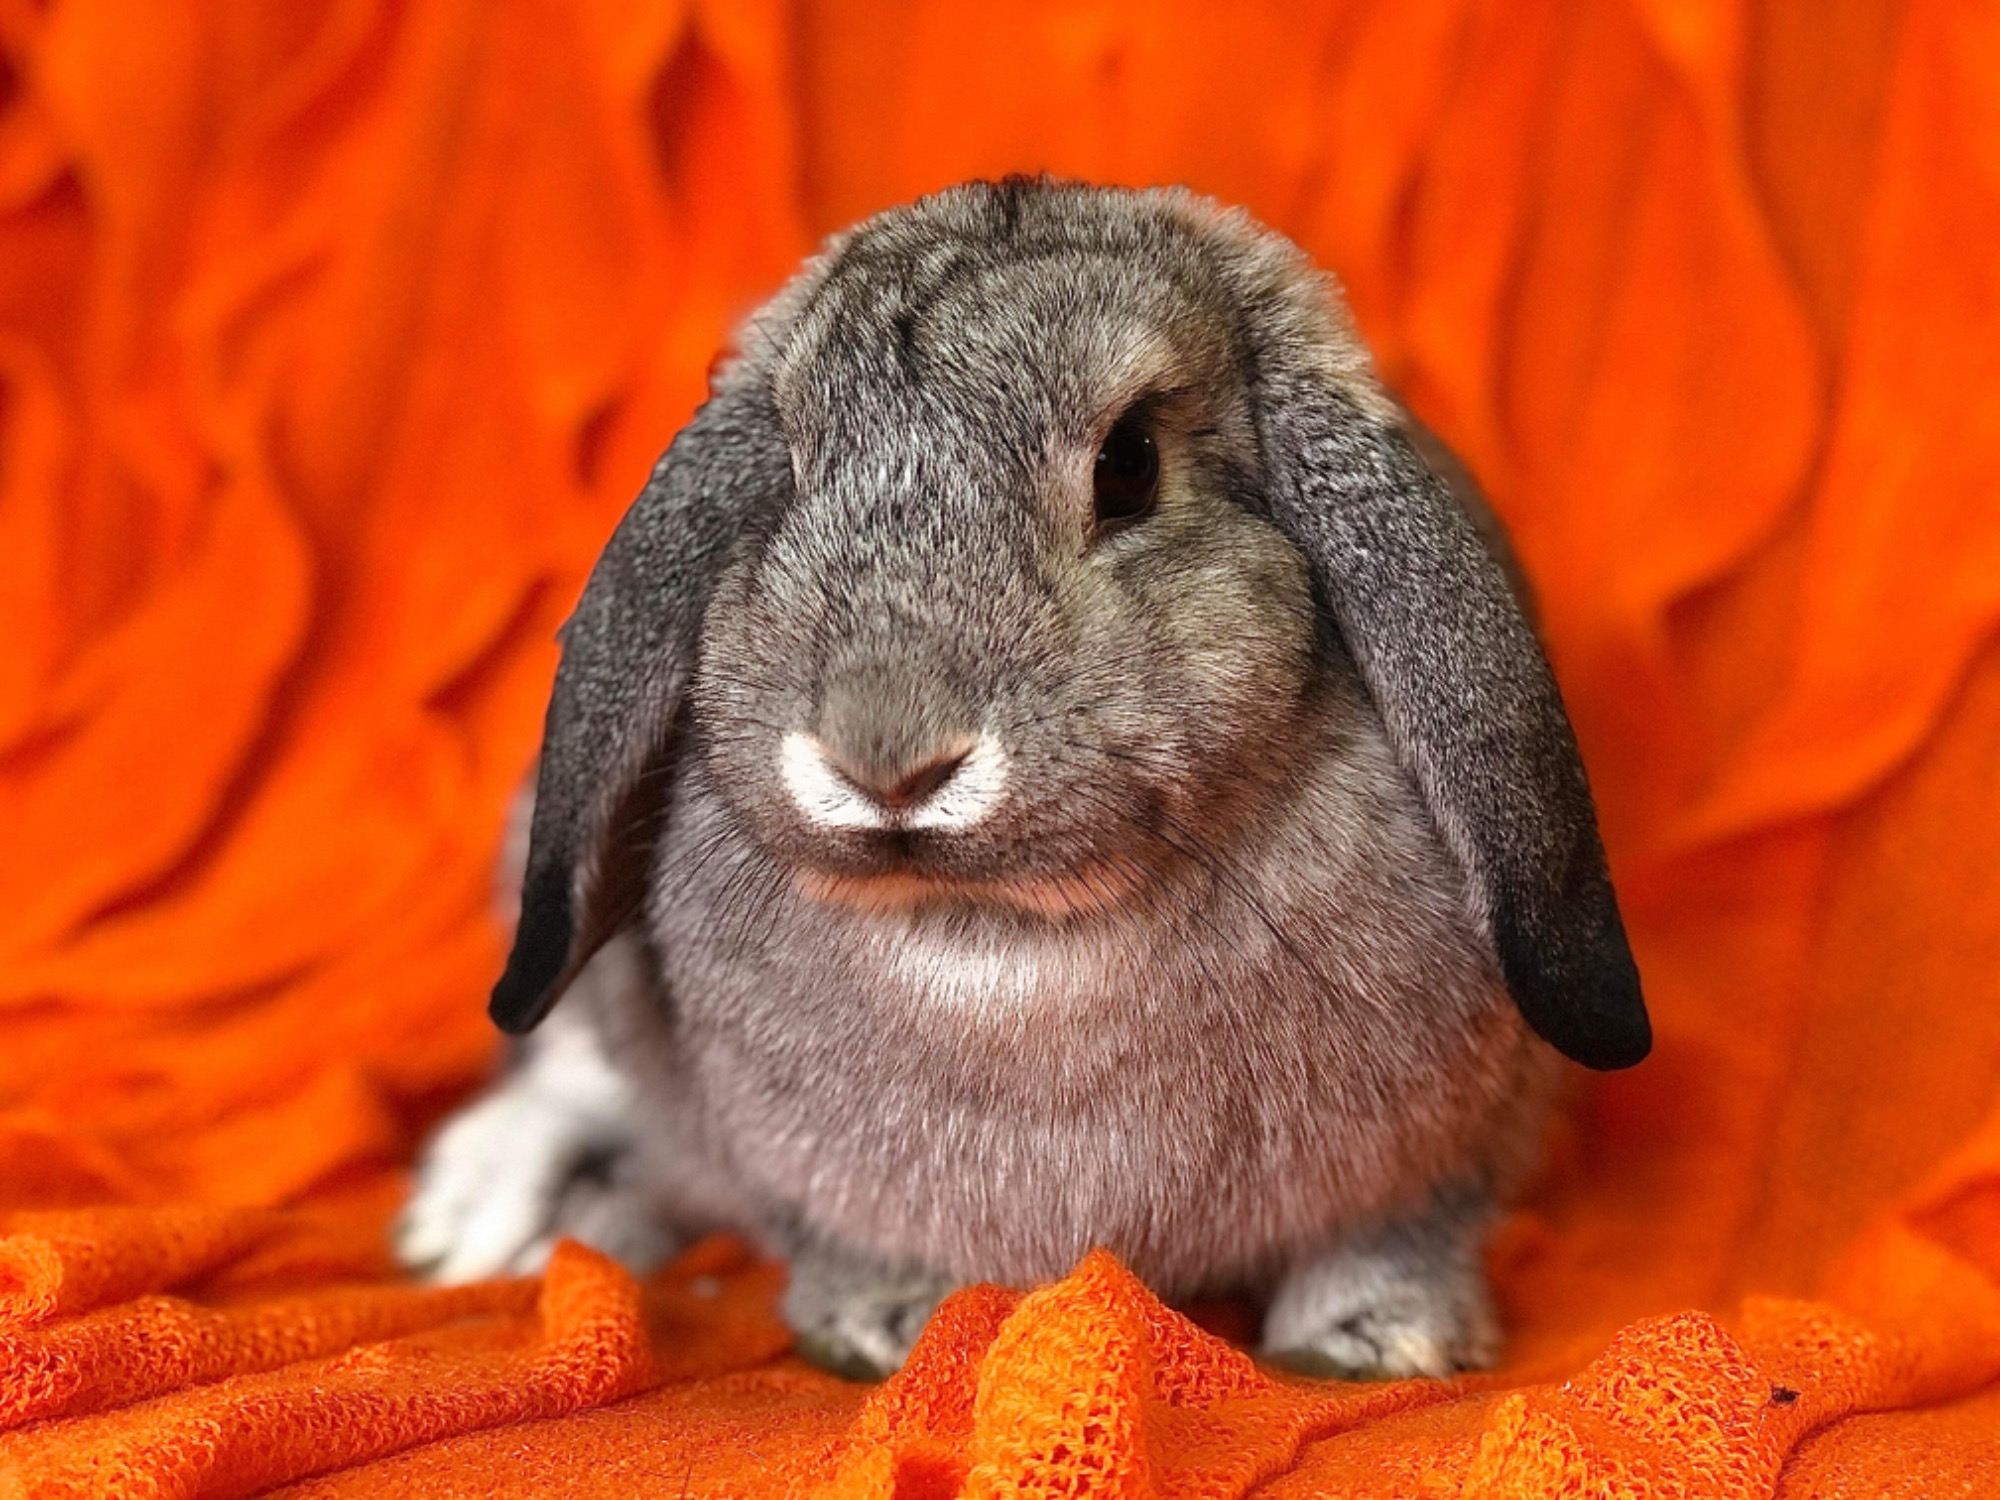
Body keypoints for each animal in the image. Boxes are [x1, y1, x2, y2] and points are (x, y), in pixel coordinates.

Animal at [397, 177, 1649, 1381]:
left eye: (1130, 465)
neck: (1001, 932)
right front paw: (874, 1325)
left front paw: (1376, 1343)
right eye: (788, 471)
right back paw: (477, 1228)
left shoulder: (1442, 1161)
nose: (885, 757)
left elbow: (1391, 1240)